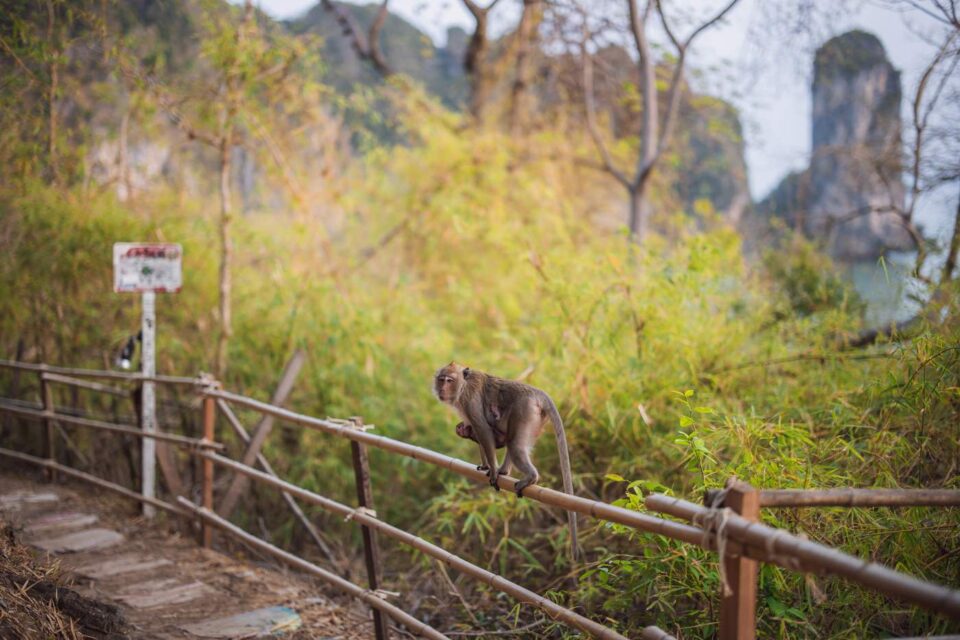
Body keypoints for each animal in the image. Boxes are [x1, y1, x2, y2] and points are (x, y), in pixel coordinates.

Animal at [434, 362, 579, 559]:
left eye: (449, 380)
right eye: (441, 379)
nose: (442, 388)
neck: (464, 384)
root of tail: (536, 392)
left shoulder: (469, 400)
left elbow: (482, 429)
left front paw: (493, 471)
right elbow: (478, 432)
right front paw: (486, 465)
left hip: (525, 410)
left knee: (515, 446)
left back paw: (529, 477)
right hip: (536, 418)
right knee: (513, 441)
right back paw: (505, 470)